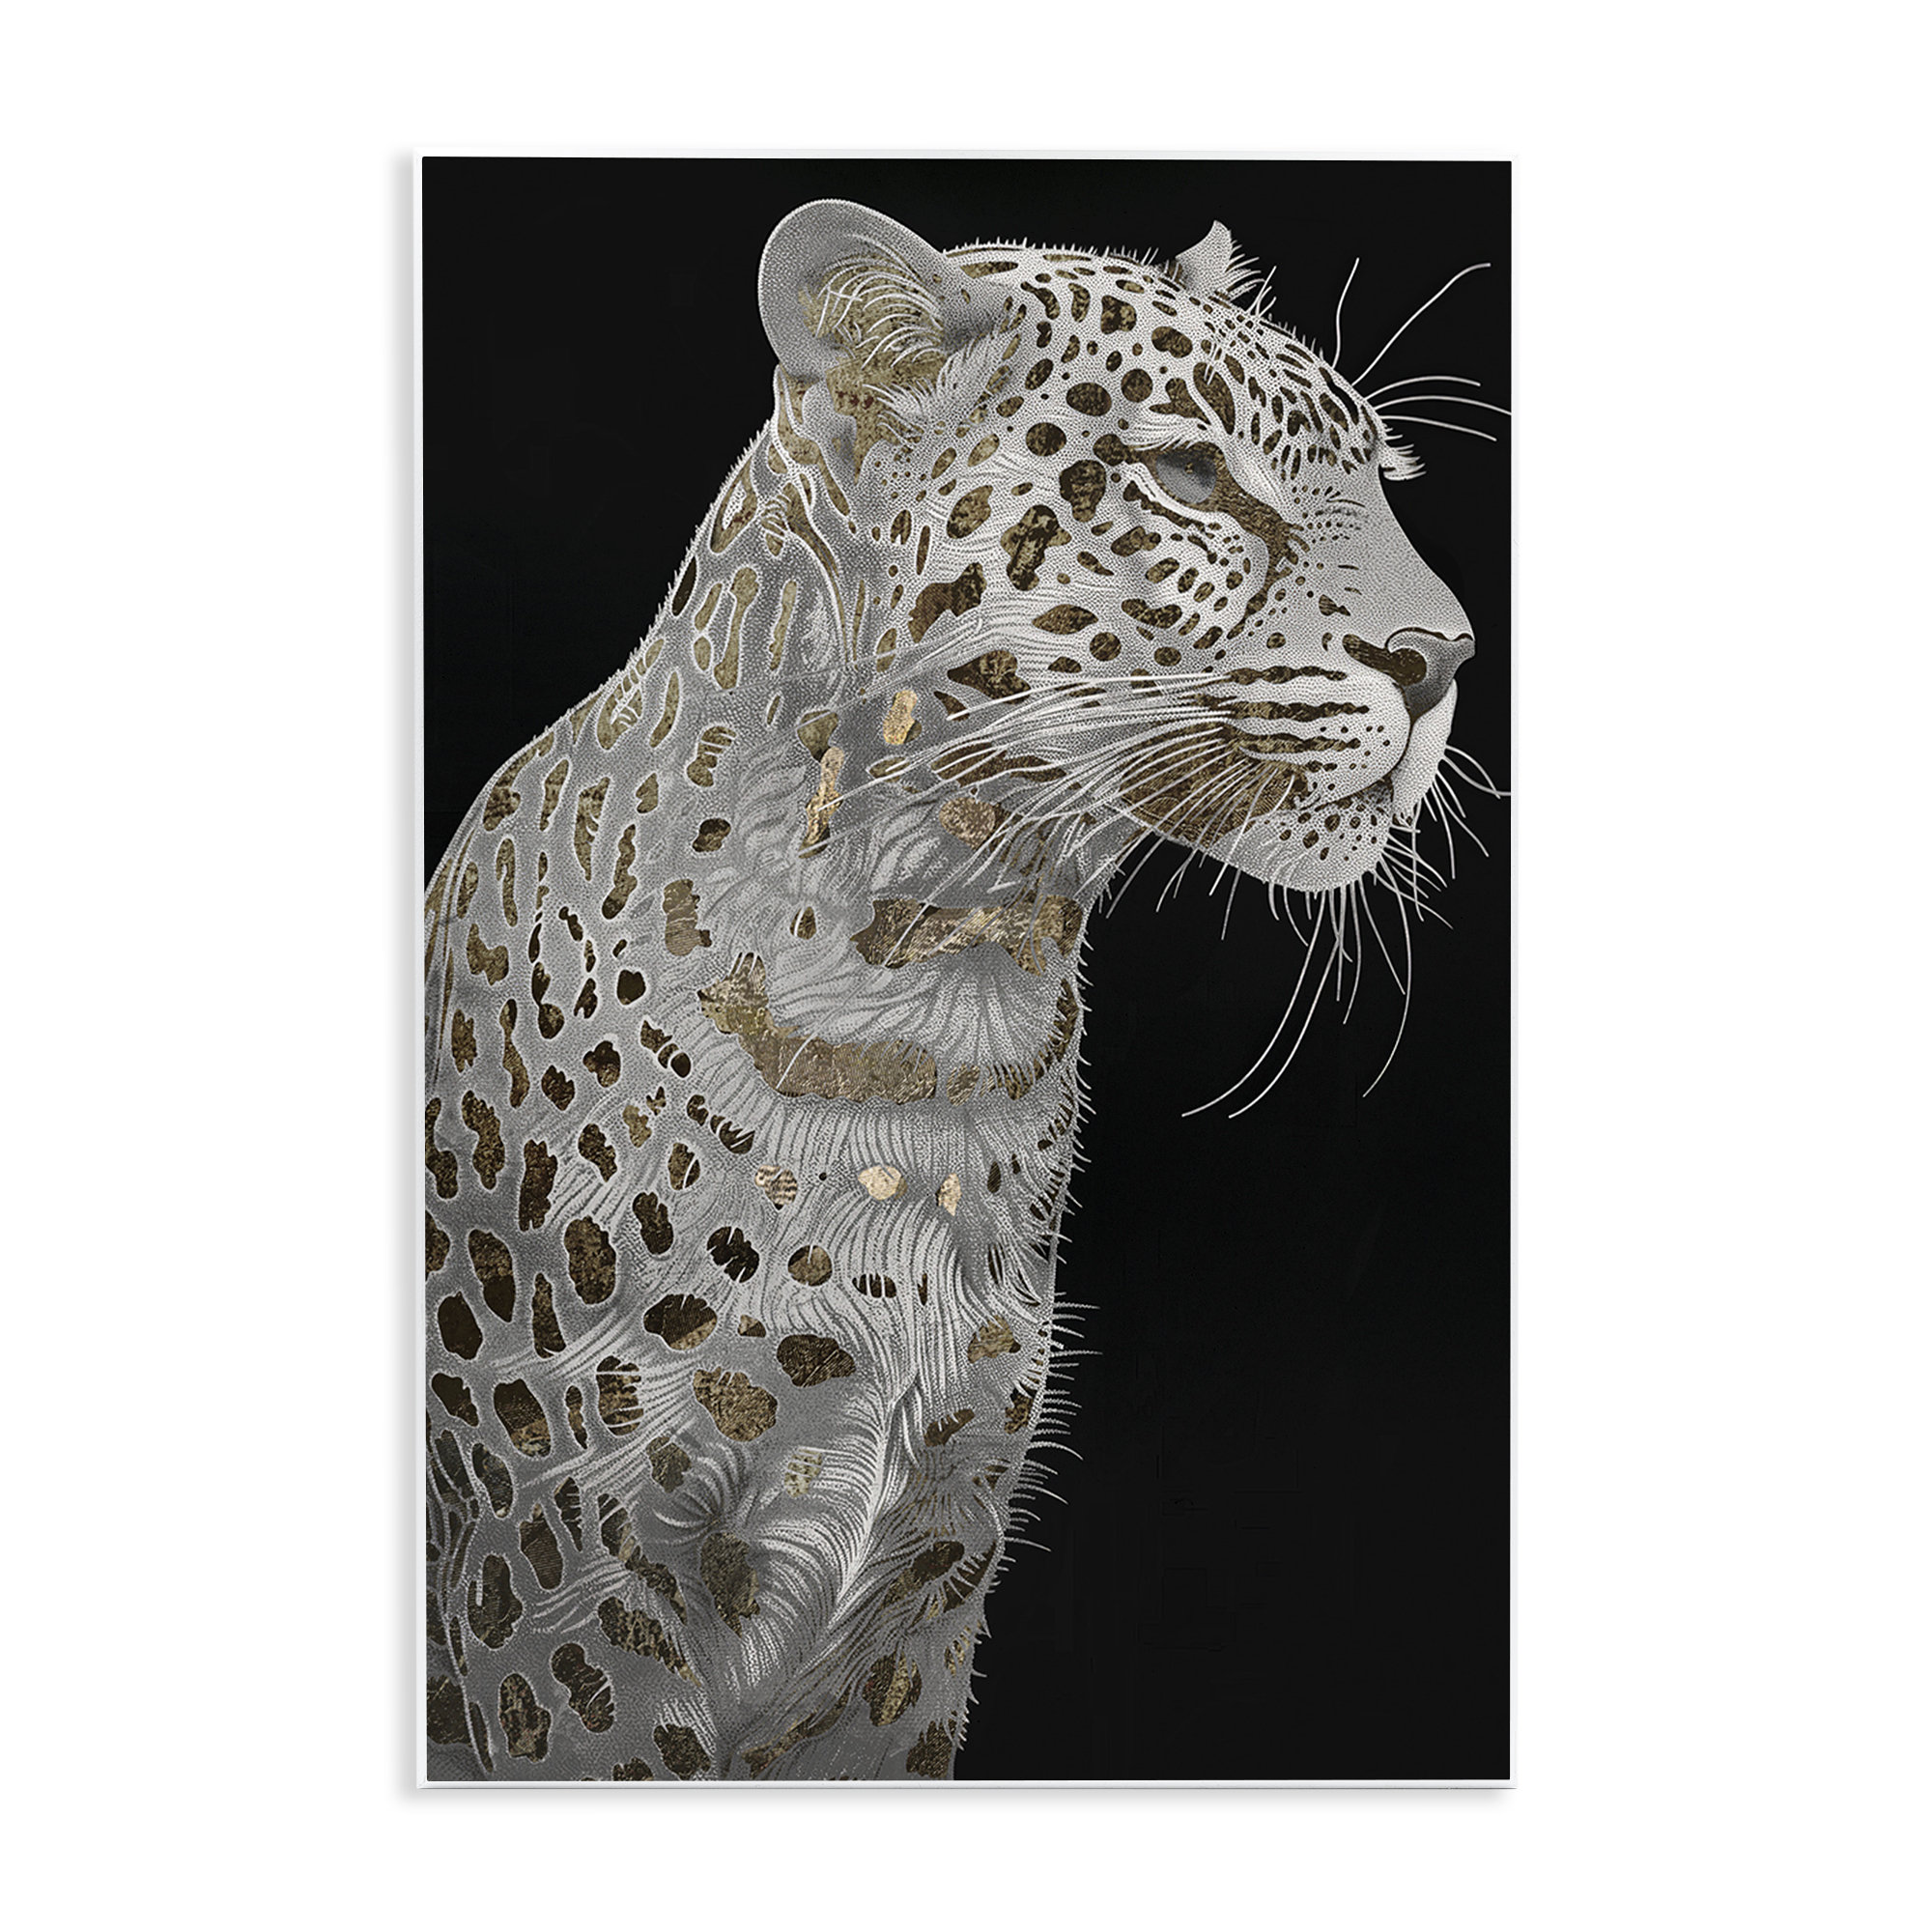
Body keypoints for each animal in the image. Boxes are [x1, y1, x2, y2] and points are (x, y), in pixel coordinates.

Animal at [423, 198, 1482, 1781]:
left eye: (1374, 476)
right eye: (1189, 475)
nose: (1446, 659)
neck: (935, 996)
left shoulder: (925, 1582)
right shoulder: (565, 1583)